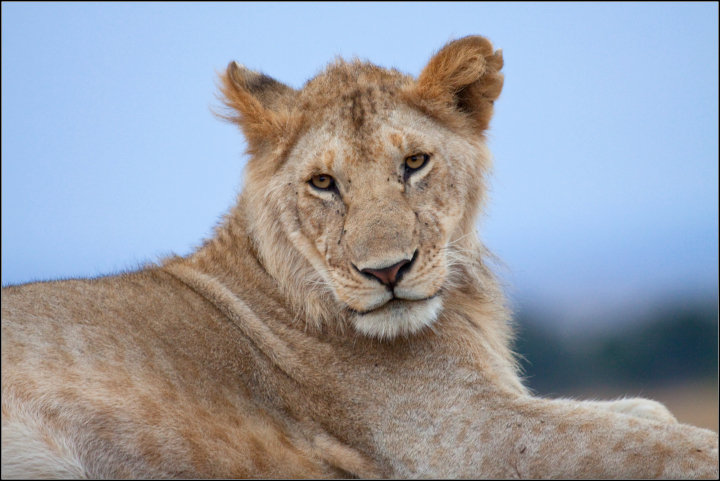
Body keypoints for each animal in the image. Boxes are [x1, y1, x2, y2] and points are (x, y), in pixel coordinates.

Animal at [1, 36, 718, 479]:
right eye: (324, 182)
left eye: (415, 163)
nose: (387, 271)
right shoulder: (466, 440)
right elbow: (660, 443)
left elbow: (647, 412)